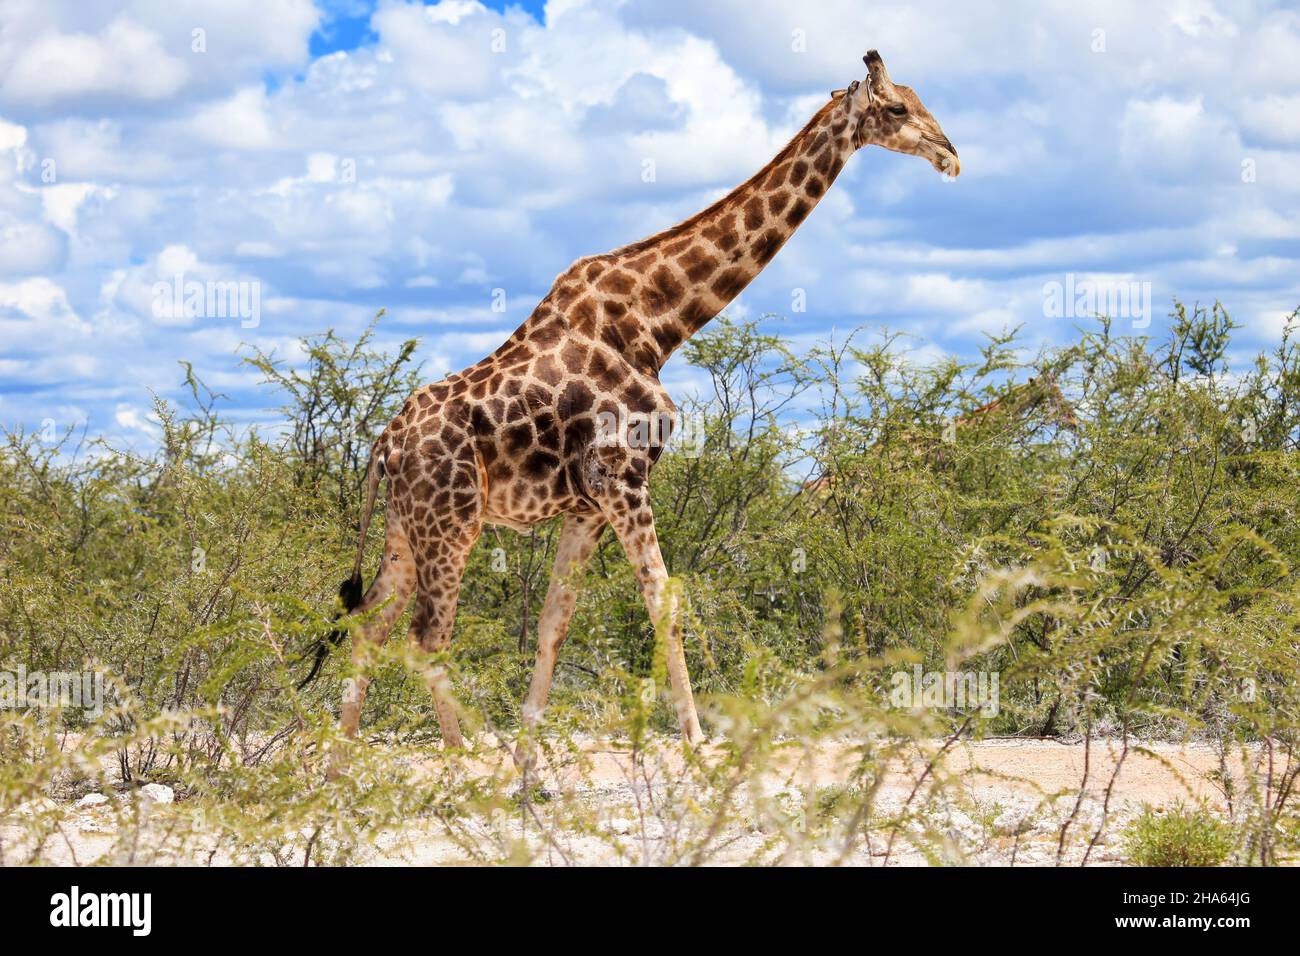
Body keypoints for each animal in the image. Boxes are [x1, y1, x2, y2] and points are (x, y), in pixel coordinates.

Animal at [323, 50, 959, 760]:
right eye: (898, 107)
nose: (951, 155)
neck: (660, 321)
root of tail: (384, 444)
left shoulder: (587, 504)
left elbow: (555, 621)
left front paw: (529, 749)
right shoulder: (625, 480)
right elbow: (666, 602)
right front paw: (697, 740)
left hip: (404, 527)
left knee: (370, 624)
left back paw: (340, 758)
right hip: (451, 521)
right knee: (425, 635)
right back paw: (464, 755)